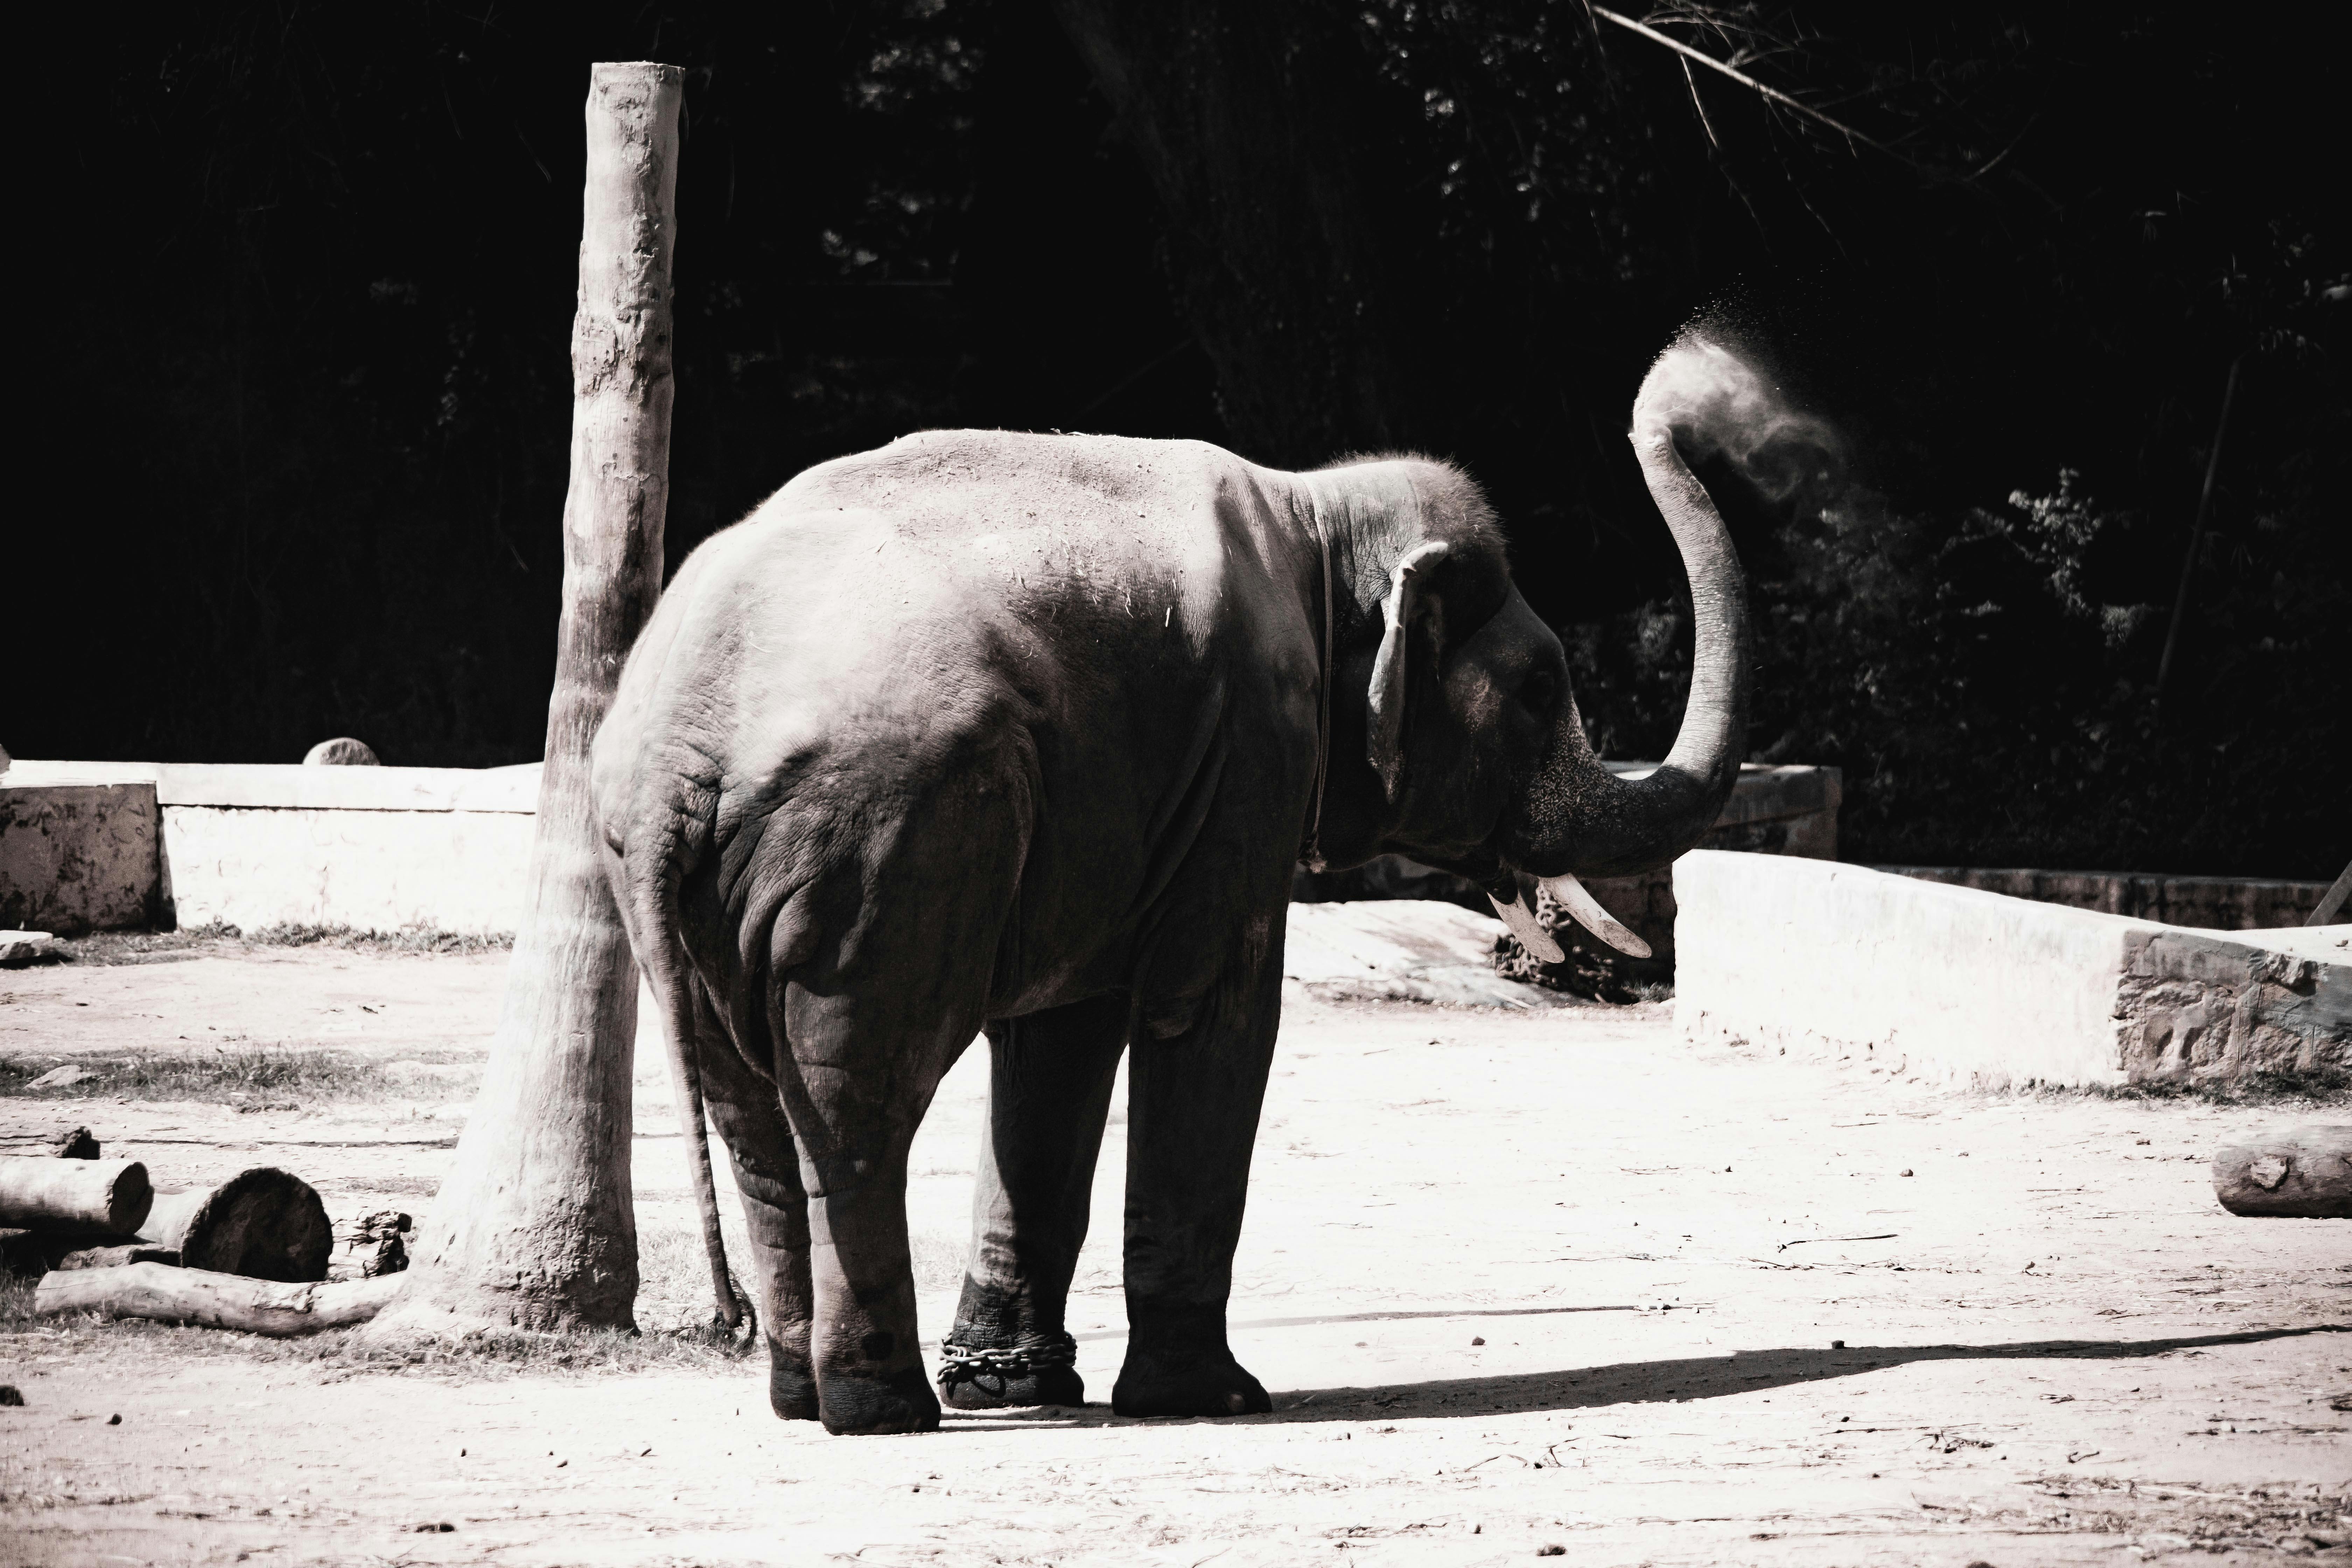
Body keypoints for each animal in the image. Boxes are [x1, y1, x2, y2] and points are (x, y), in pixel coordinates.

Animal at [590, 341, 1750, 1434]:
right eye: (1541, 688)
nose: (1683, 393)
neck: (1316, 513)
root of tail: (676, 738)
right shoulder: (1251, 756)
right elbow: (1213, 1008)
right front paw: (1215, 1396)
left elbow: (1056, 1041)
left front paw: (1013, 1386)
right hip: (887, 845)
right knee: (860, 1092)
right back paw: (882, 1409)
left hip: (719, 897)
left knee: (751, 1107)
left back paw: (804, 1396)